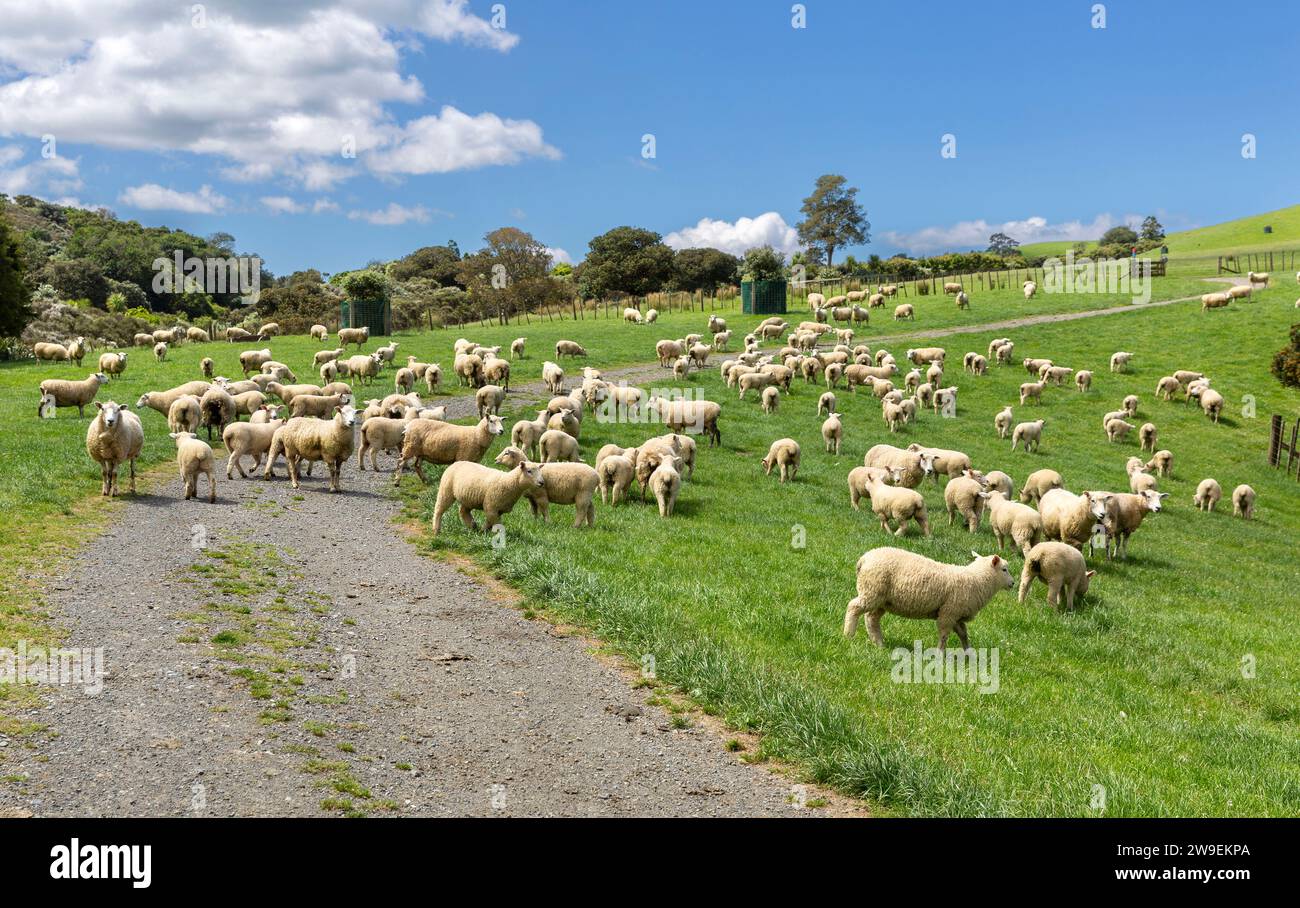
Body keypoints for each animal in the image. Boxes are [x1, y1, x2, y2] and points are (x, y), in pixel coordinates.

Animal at [844, 548, 1014, 651]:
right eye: (1004, 569)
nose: (1012, 583)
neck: (977, 579)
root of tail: (864, 558)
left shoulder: (955, 614)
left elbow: (963, 634)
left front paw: (968, 653)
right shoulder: (948, 613)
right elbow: (944, 635)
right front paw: (940, 654)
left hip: (882, 600)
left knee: (871, 619)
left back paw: (879, 644)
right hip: (872, 591)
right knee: (853, 607)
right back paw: (848, 635)